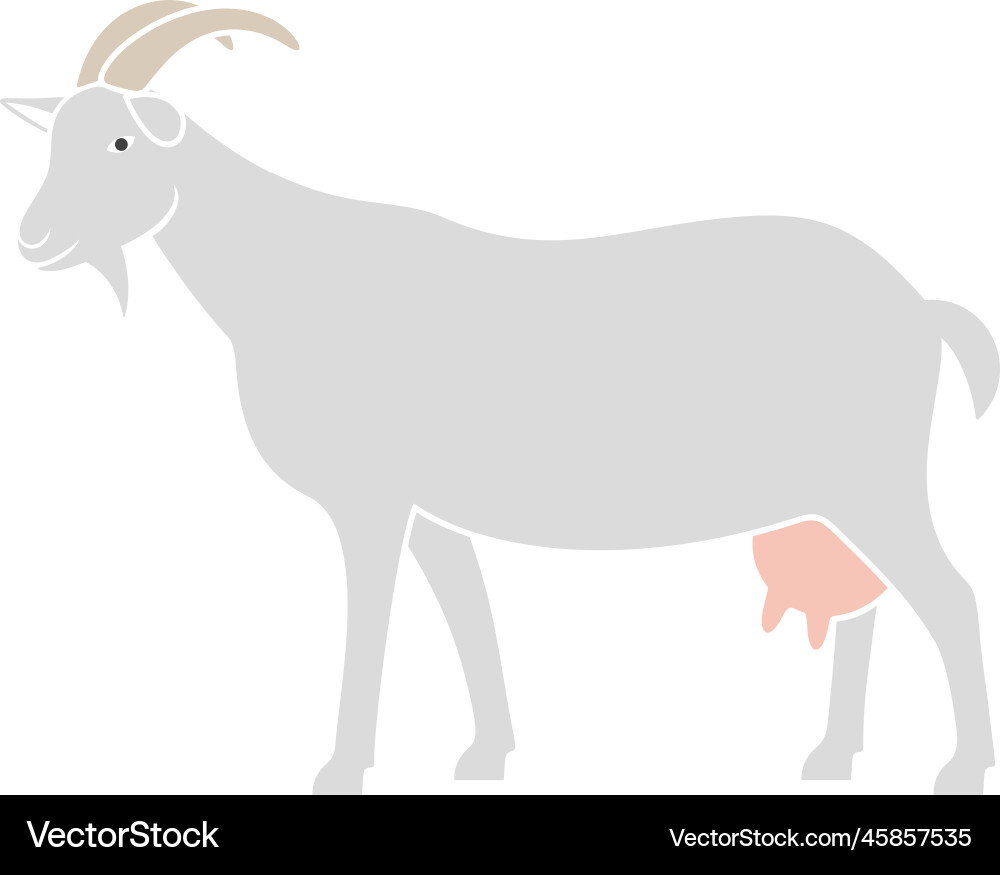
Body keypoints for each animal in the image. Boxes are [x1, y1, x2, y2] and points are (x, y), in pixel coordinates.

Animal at [3, 2, 996, 794]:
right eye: (51, 141)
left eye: (122, 141)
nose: (35, 239)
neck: (295, 275)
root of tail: (919, 306)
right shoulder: (433, 512)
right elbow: (468, 613)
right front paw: (486, 755)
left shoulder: (372, 502)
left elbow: (375, 623)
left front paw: (340, 767)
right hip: (835, 496)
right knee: (867, 605)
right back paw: (831, 756)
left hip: (875, 483)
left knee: (949, 595)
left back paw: (956, 767)